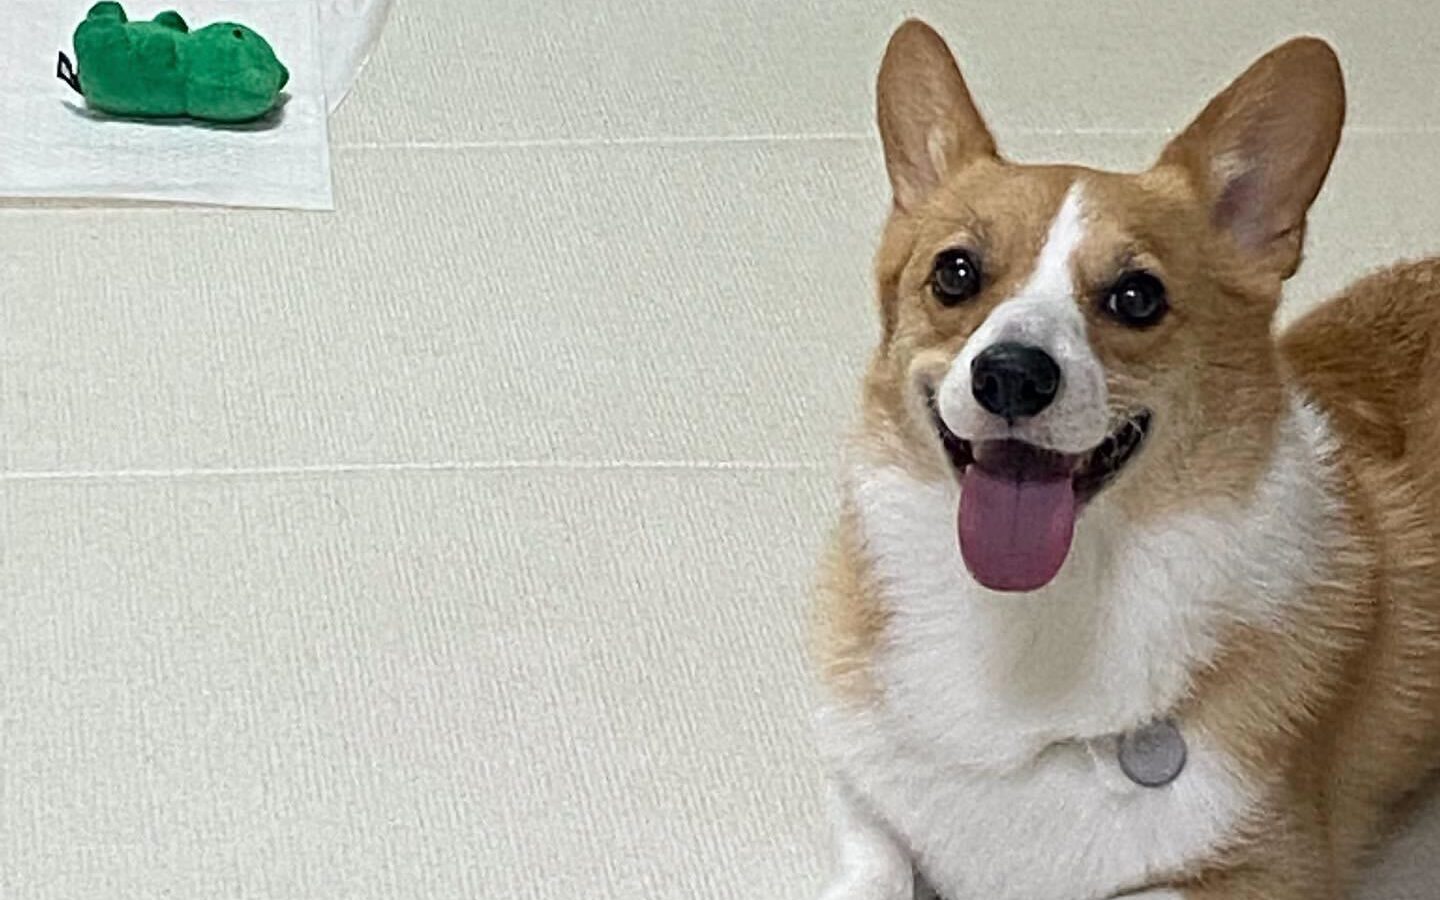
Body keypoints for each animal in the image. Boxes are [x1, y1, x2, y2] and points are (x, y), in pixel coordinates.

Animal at [810, 19, 1440, 900]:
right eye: (955, 273)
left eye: (1138, 297)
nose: (1011, 374)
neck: (1035, 615)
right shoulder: (864, 792)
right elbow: (877, 860)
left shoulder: (1273, 867)